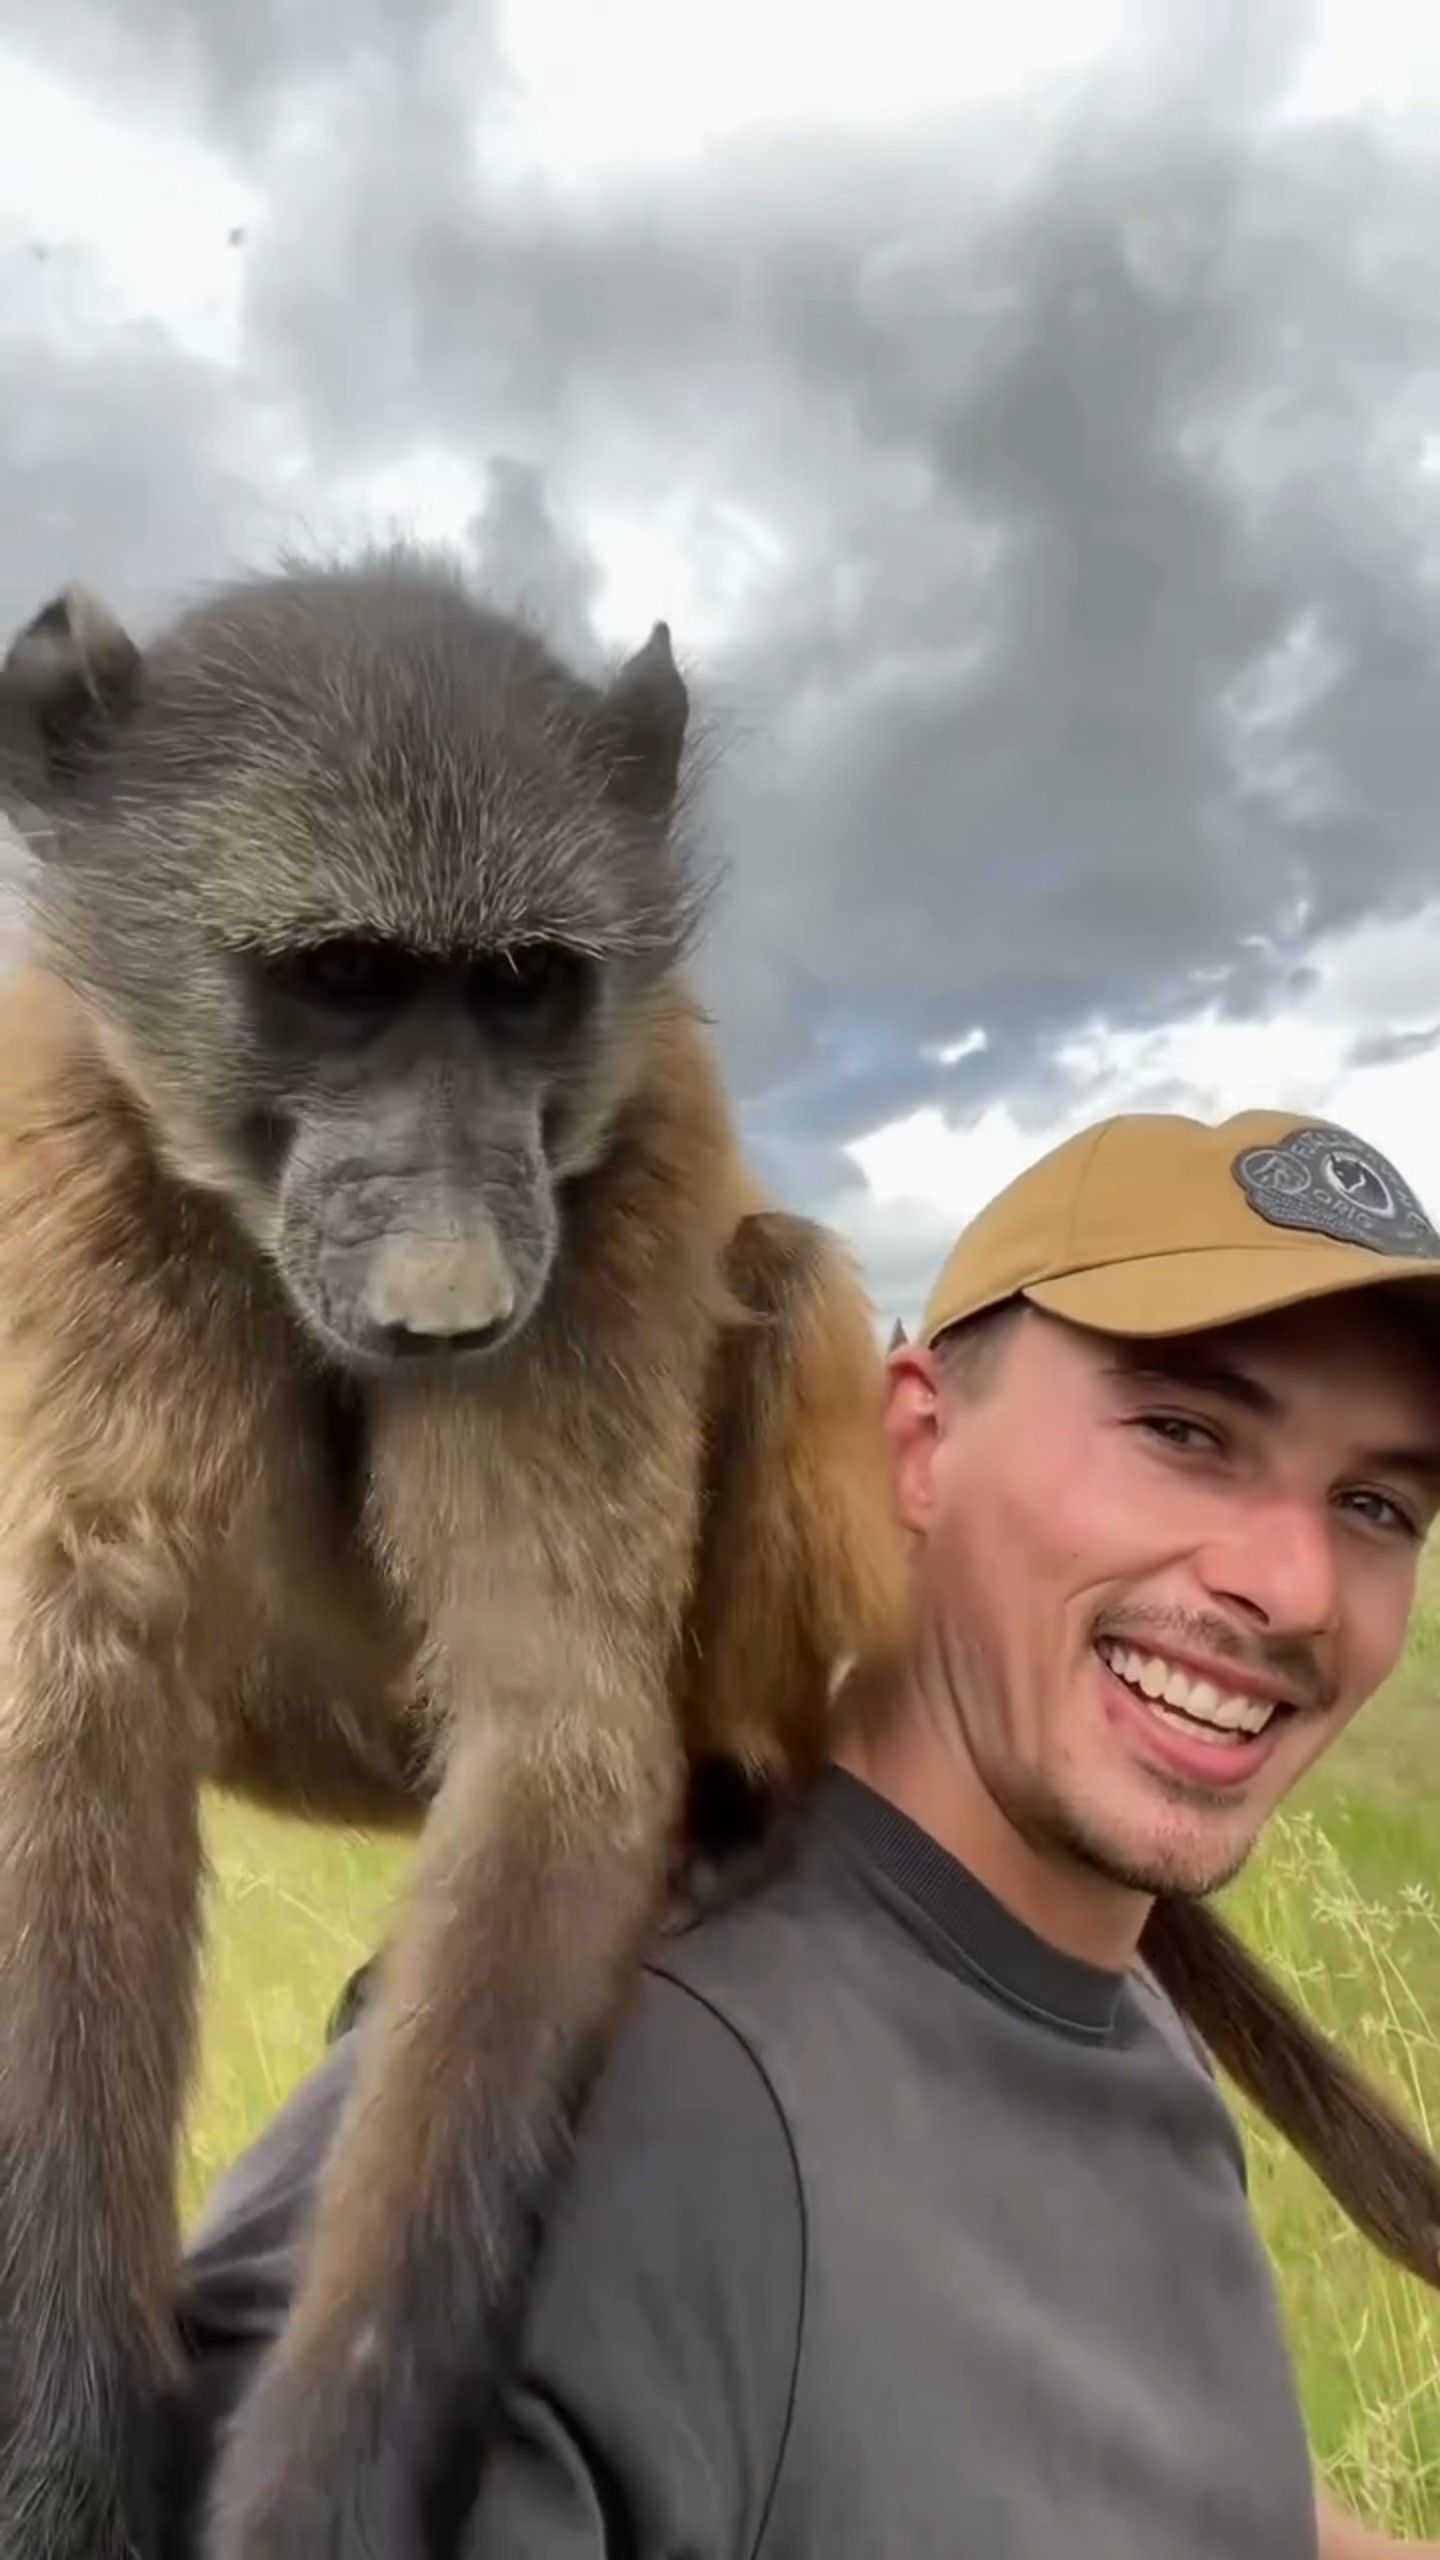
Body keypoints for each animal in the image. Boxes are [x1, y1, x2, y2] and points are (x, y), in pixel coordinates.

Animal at [0, 552, 912, 2560]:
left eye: (519, 991)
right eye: (340, 983)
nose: (456, 1304)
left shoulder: (624, 1173)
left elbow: (556, 1731)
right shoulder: (72, 1157)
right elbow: (76, 1703)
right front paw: (63, 2476)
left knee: (789, 1280)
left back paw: (731, 1826)